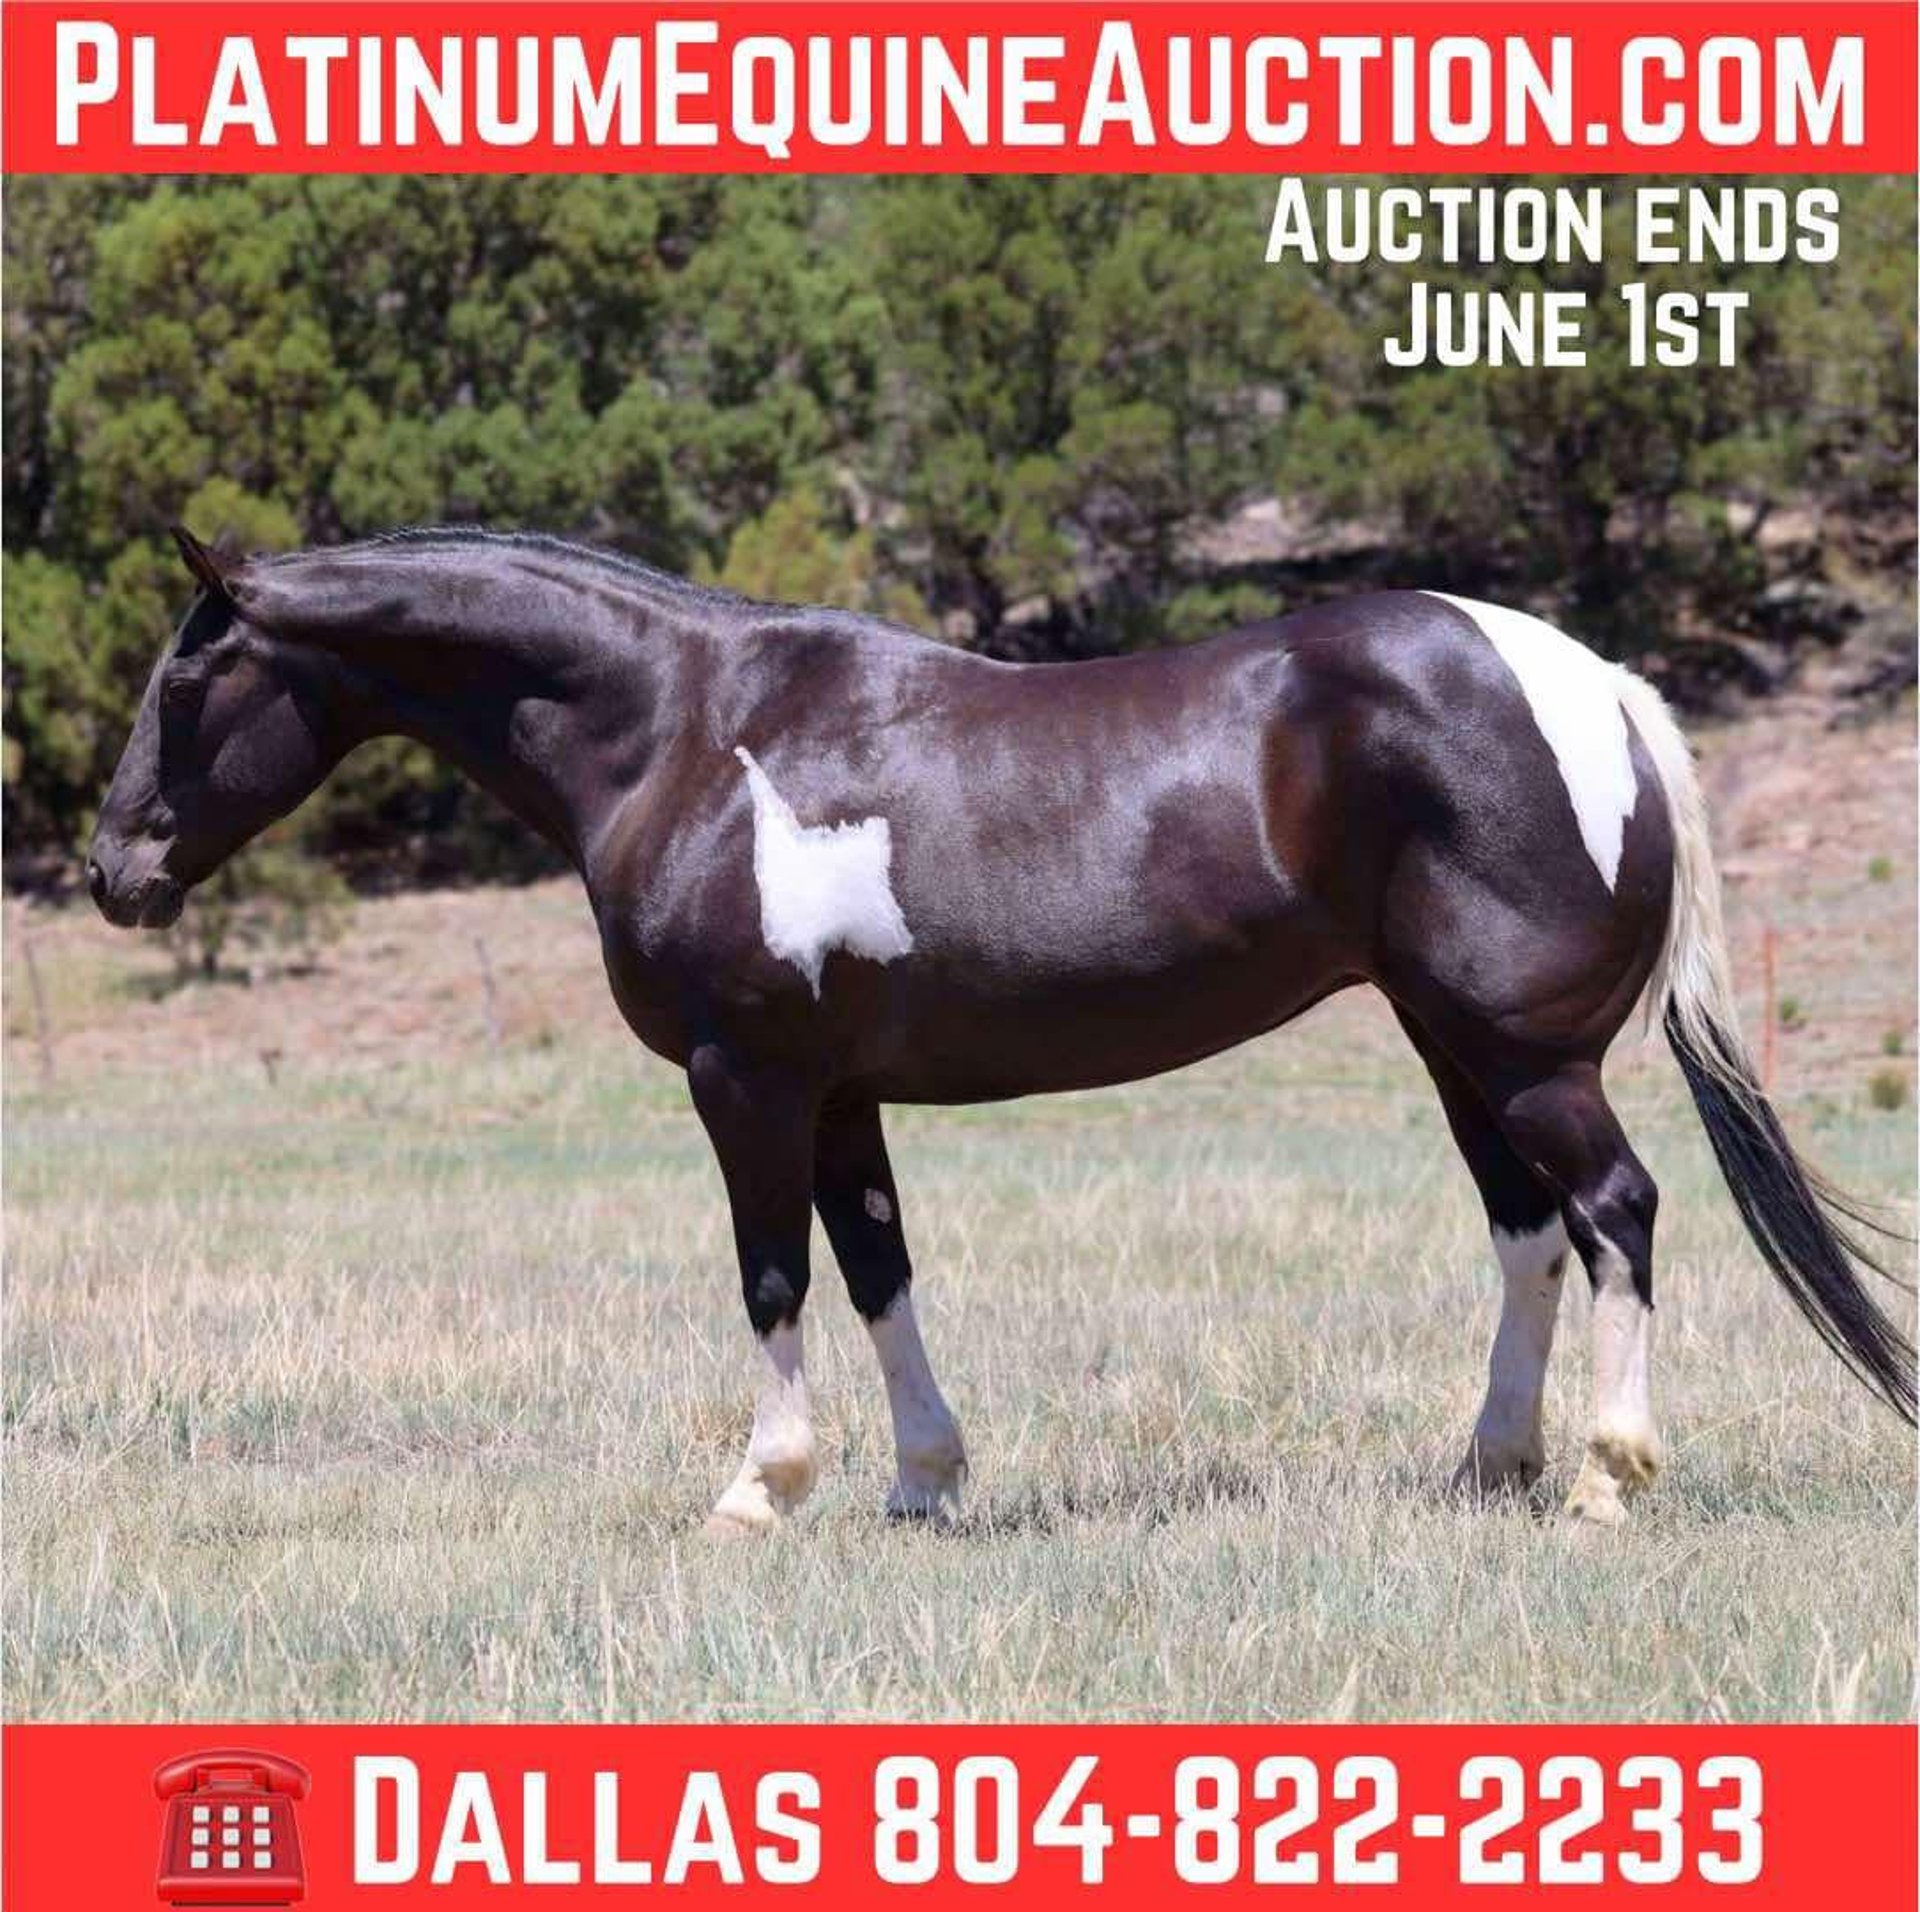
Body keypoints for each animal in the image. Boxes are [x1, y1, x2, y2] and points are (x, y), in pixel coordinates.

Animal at [88, 526, 1915, 1532]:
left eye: (185, 684)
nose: (113, 869)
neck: (684, 732)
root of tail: (1592, 685)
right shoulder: (836, 1095)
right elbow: (879, 1270)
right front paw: (920, 1481)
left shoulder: (746, 1082)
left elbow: (773, 1279)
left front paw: (761, 1489)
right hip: (1456, 1046)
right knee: (1533, 1234)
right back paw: (1491, 1469)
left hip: (1528, 1056)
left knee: (1616, 1213)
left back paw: (1605, 1477)